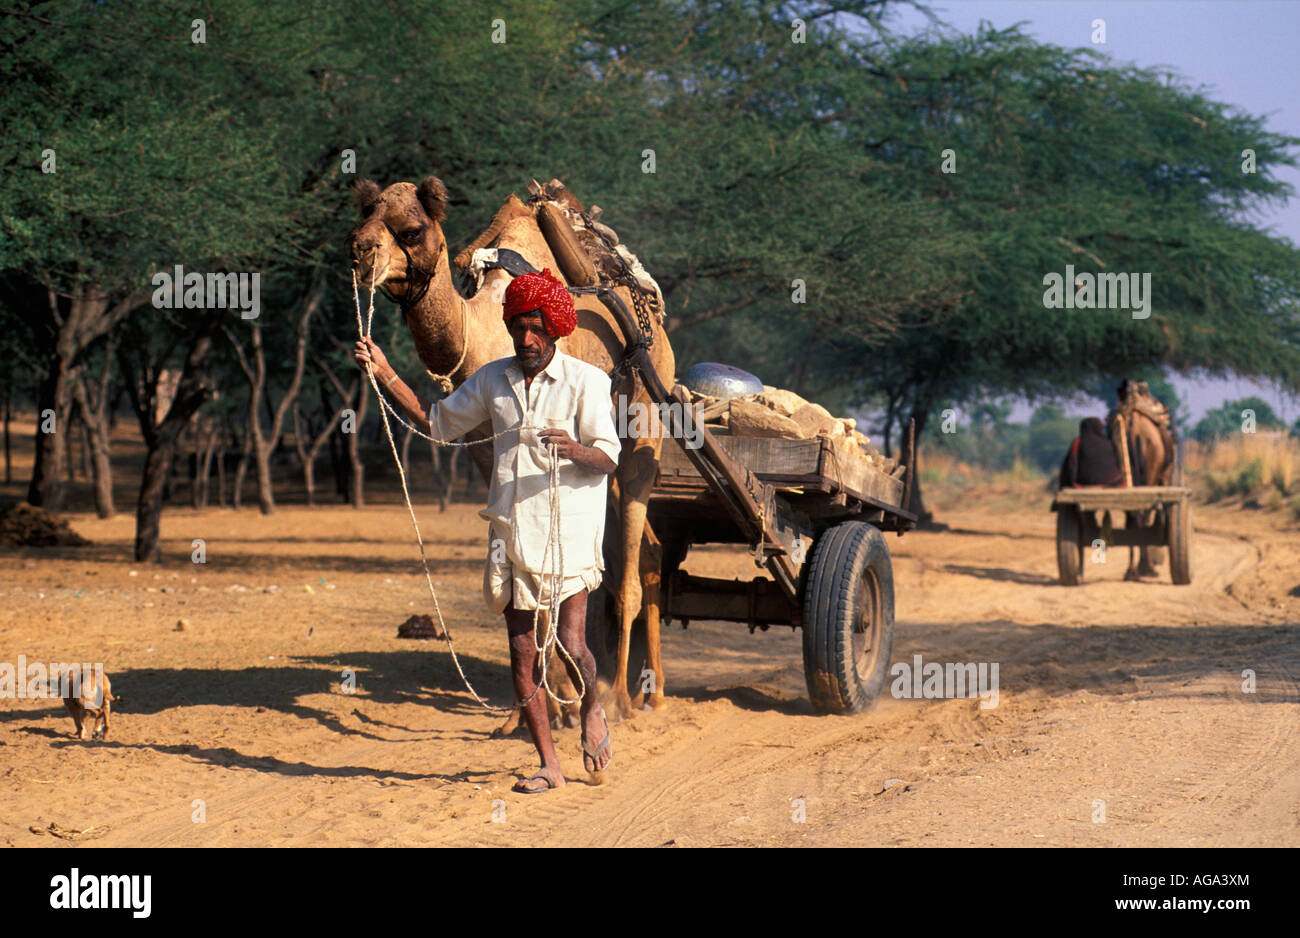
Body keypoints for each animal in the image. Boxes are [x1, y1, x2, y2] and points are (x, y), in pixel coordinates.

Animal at [1112, 380, 1176, 580]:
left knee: (1131, 512)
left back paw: (1131, 570)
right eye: (1148, 392)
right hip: (1149, 473)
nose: (1165, 410)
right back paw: (1146, 568)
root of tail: (1132, 425)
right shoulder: (1165, 477)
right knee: (1143, 513)